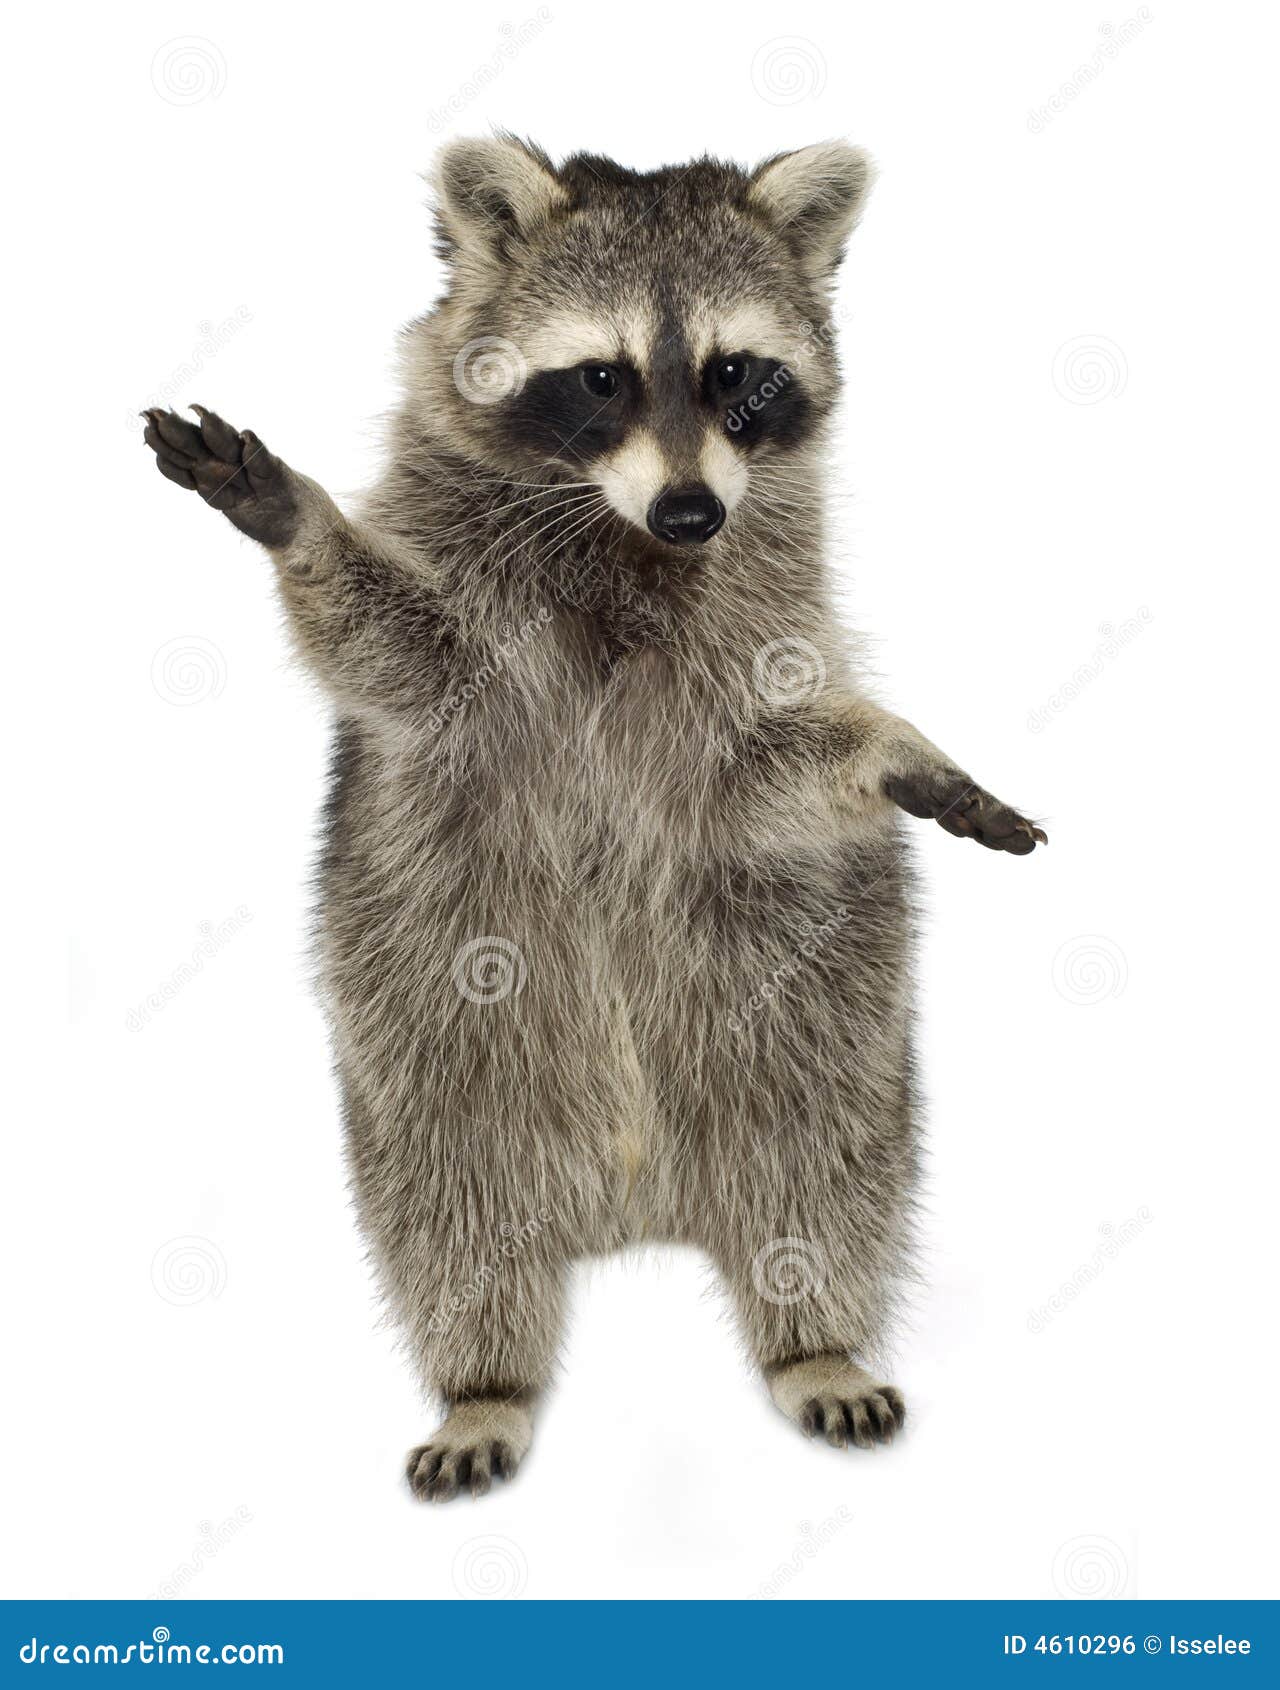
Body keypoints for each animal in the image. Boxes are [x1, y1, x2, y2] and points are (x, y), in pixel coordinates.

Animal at [142, 137, 1045, 1502]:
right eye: (601, 377)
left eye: (735, 374)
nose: (691, 512)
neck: (618, 531)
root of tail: (637, 1201)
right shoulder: (470, 644)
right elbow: (391, 649)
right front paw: (298, 518)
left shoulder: (741, 642)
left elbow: (755, 769)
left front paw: (889, 747)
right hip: (425, 1019)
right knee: (449, 1207)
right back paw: (486, 1376)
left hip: (822, 1002)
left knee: (824, 1163)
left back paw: (811, 1338)